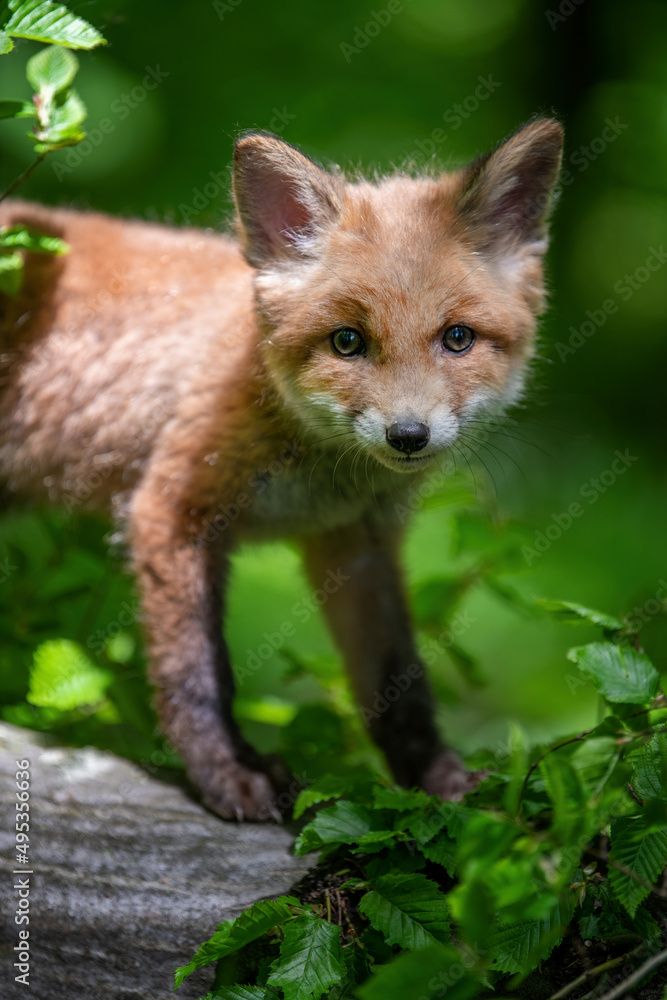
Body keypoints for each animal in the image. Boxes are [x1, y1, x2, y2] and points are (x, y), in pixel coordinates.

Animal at [0, 117, 563, 820]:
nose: (408, 435)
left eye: (457, 338)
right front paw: (224, 772)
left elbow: (397, 683)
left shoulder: (357, 543)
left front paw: (436, 780)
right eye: (347, 341)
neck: (319, 476)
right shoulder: (170, 509)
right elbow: (196, 674)